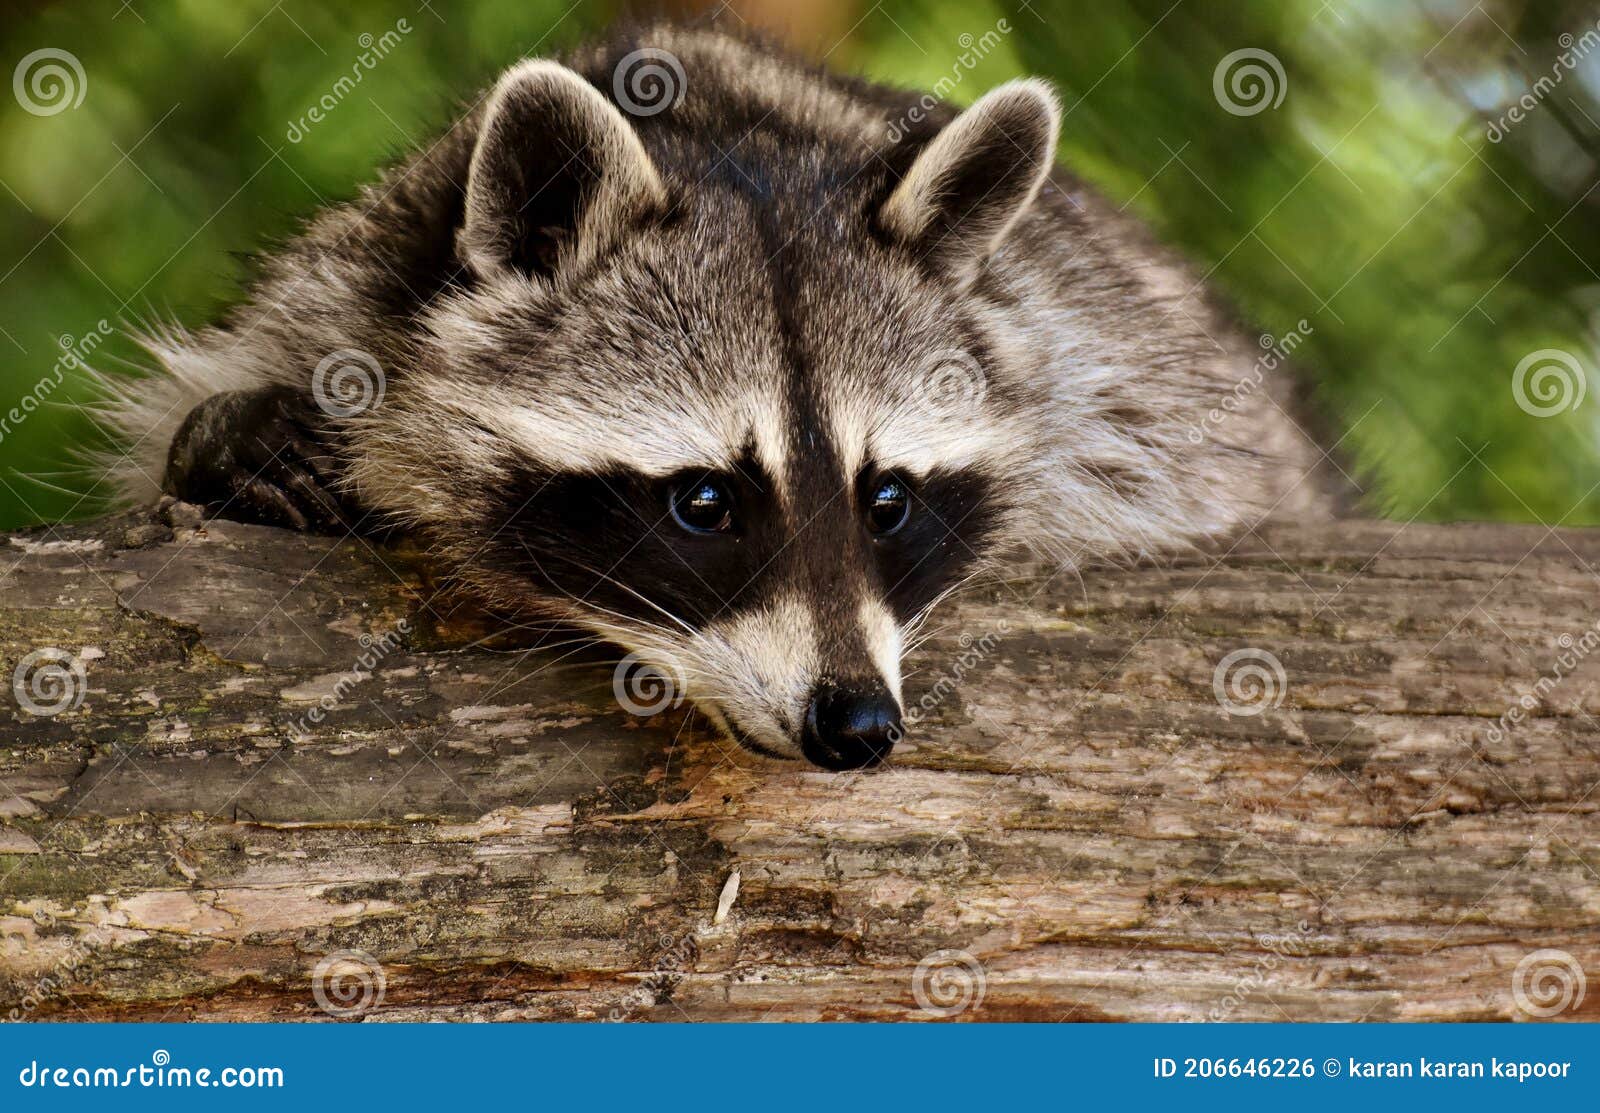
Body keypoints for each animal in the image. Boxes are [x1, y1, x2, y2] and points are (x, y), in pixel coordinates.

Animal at [101, 23, 1340, 770]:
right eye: (703, 503)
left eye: (887, 501)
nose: (857, 725)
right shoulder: (340, 291)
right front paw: (231, 439)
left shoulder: (1102, 365)